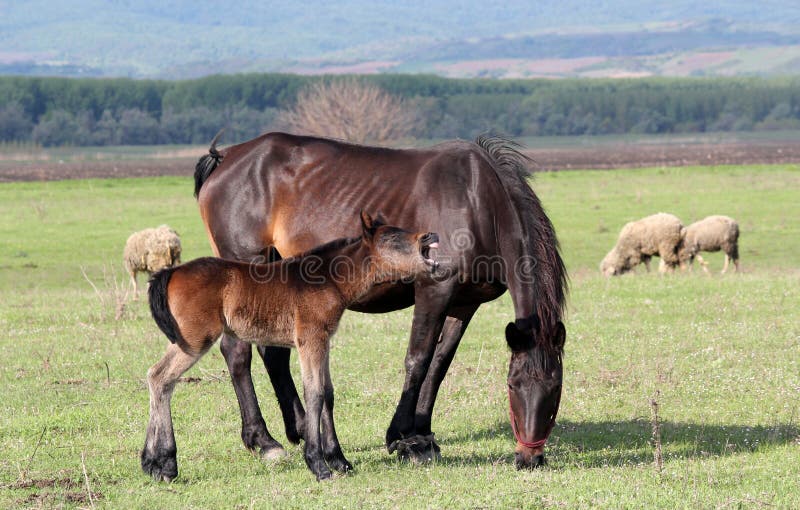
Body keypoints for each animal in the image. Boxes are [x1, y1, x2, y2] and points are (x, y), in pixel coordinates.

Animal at [142, 211, 440, 481]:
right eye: (391, 238)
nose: (430, 235)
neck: (328, 279)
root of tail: (171, 272)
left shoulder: (323, 339)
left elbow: (328, 394)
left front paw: (339, 460)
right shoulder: (310, 339)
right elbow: (315, 393)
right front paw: (318, 465)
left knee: (155, 376)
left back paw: (150, 462)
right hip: (194, 340)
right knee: (162, 377)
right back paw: (166, 464)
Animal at [195, 132, 568, 469]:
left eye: (555, 391)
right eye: (512, 385)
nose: (529, 459)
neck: (477, 201)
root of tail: (226, 158)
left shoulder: (464, 303)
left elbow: (439, 364)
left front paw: (424, 435)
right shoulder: (434, 289)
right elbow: (418, 360)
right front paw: (405, 440)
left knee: (272, 353)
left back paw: (297, 428)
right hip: (246, 271)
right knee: (237, 352)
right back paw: (263, 440)